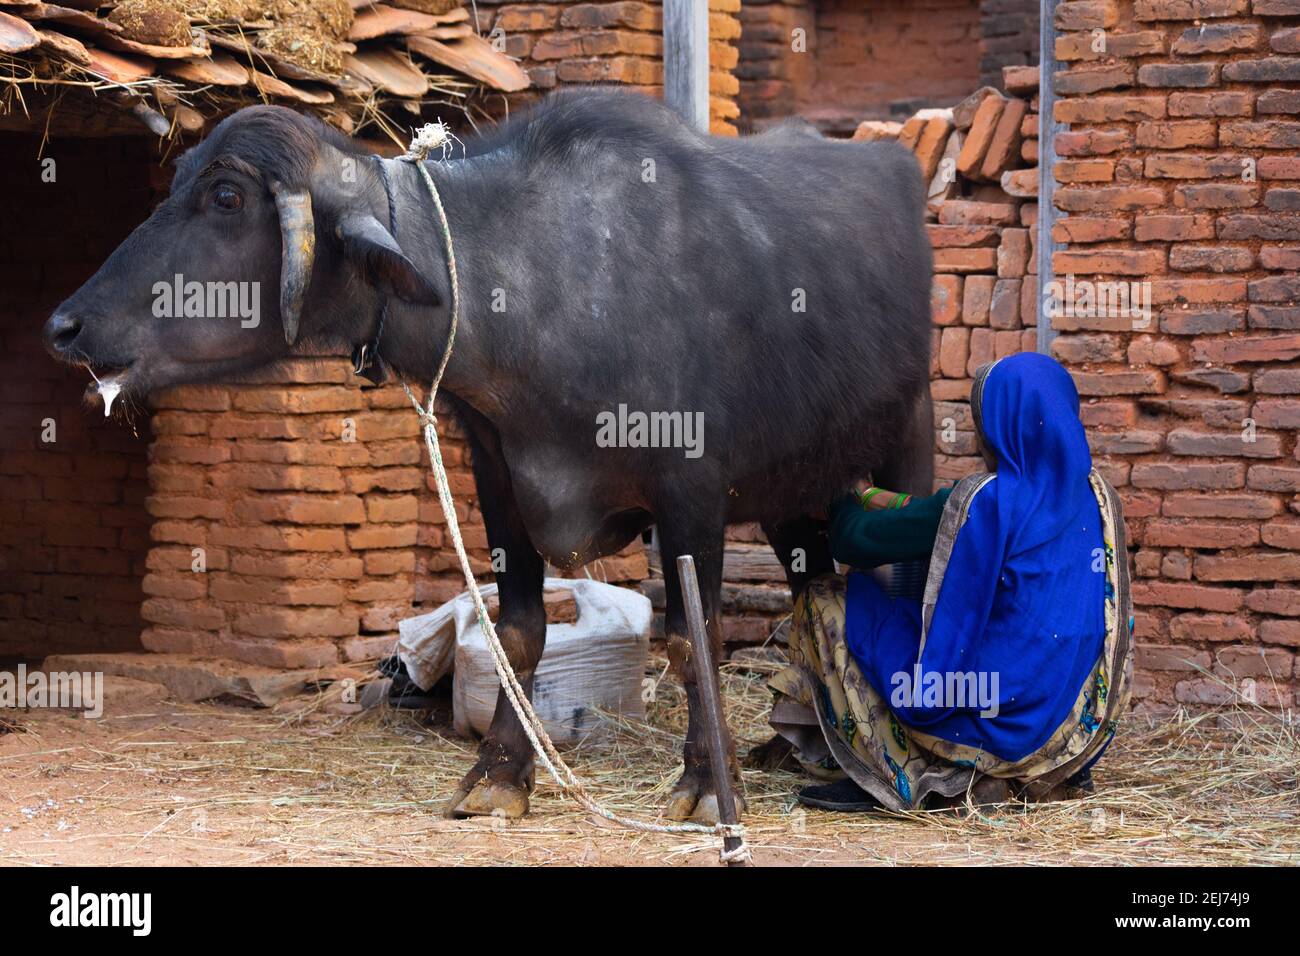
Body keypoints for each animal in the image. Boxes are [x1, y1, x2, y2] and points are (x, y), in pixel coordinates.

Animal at [44, 90, 934, 823]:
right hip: (797, 487)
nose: (65, 325)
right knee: (812, 588)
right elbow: (518, 634)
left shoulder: (693, 490)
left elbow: (696, 642)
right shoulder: (497, 473)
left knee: (901, 573)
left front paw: (709, 786)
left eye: (225, 197)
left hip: (911, 434)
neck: (551, 284)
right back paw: (794, 744)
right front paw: (501, 775)